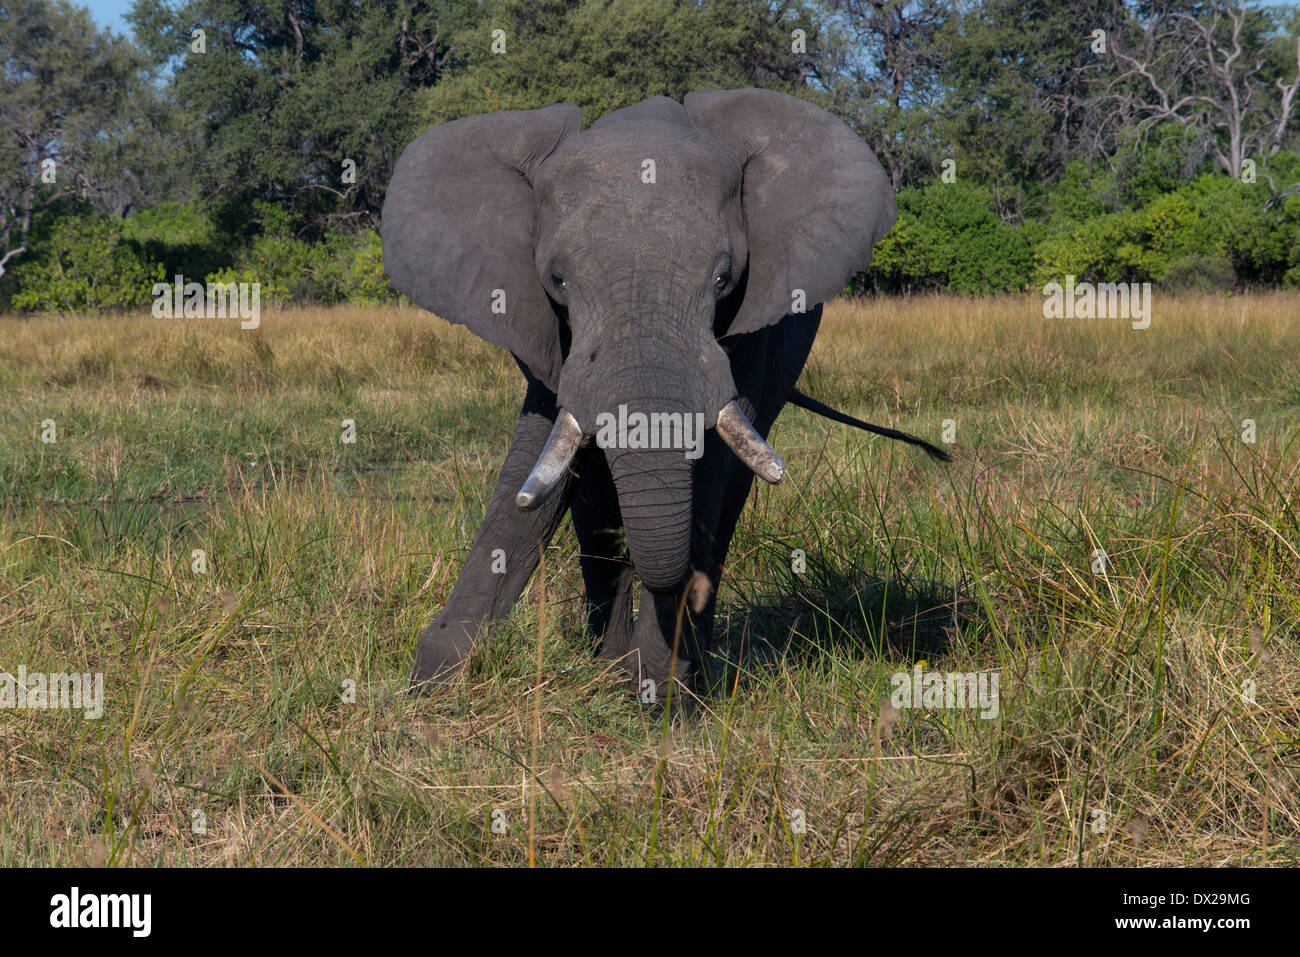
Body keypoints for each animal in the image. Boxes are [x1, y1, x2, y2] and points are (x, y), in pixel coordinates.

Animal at [382, 88, 946, 704]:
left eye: (724, 279)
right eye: (558, 281)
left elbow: (711, 470)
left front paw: (664, 696)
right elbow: (540, 458)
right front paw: (432, 684)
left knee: (728, 491)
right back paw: (608, 664)